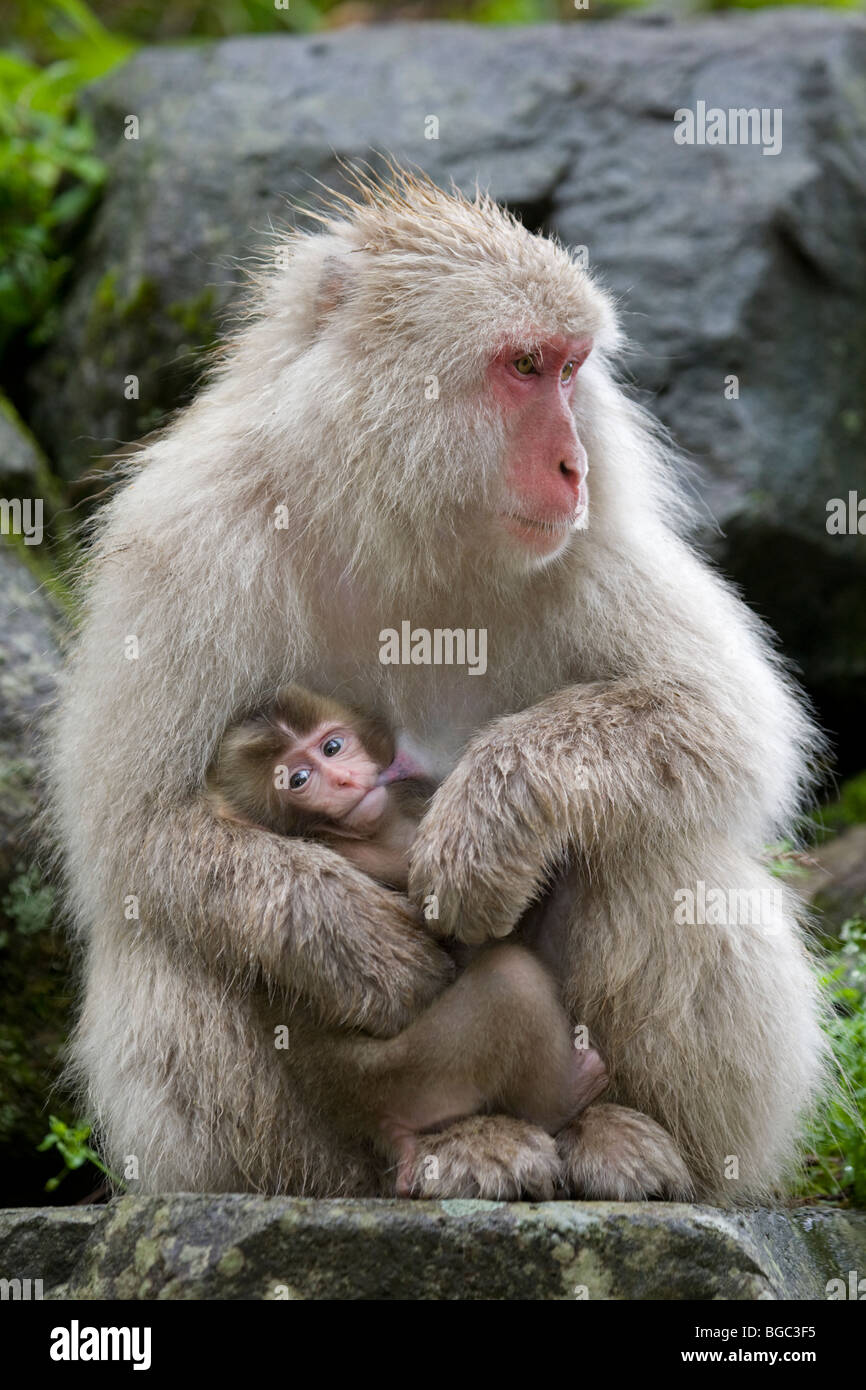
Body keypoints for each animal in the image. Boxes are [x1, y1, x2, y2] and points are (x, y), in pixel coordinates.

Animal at [204, 683, 609, 1191]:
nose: (343, 780)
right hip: (419, 1073)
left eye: (332, 747)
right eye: (298, 779)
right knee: (512, 983)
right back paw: (569, 1093)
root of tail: (374, 1122)